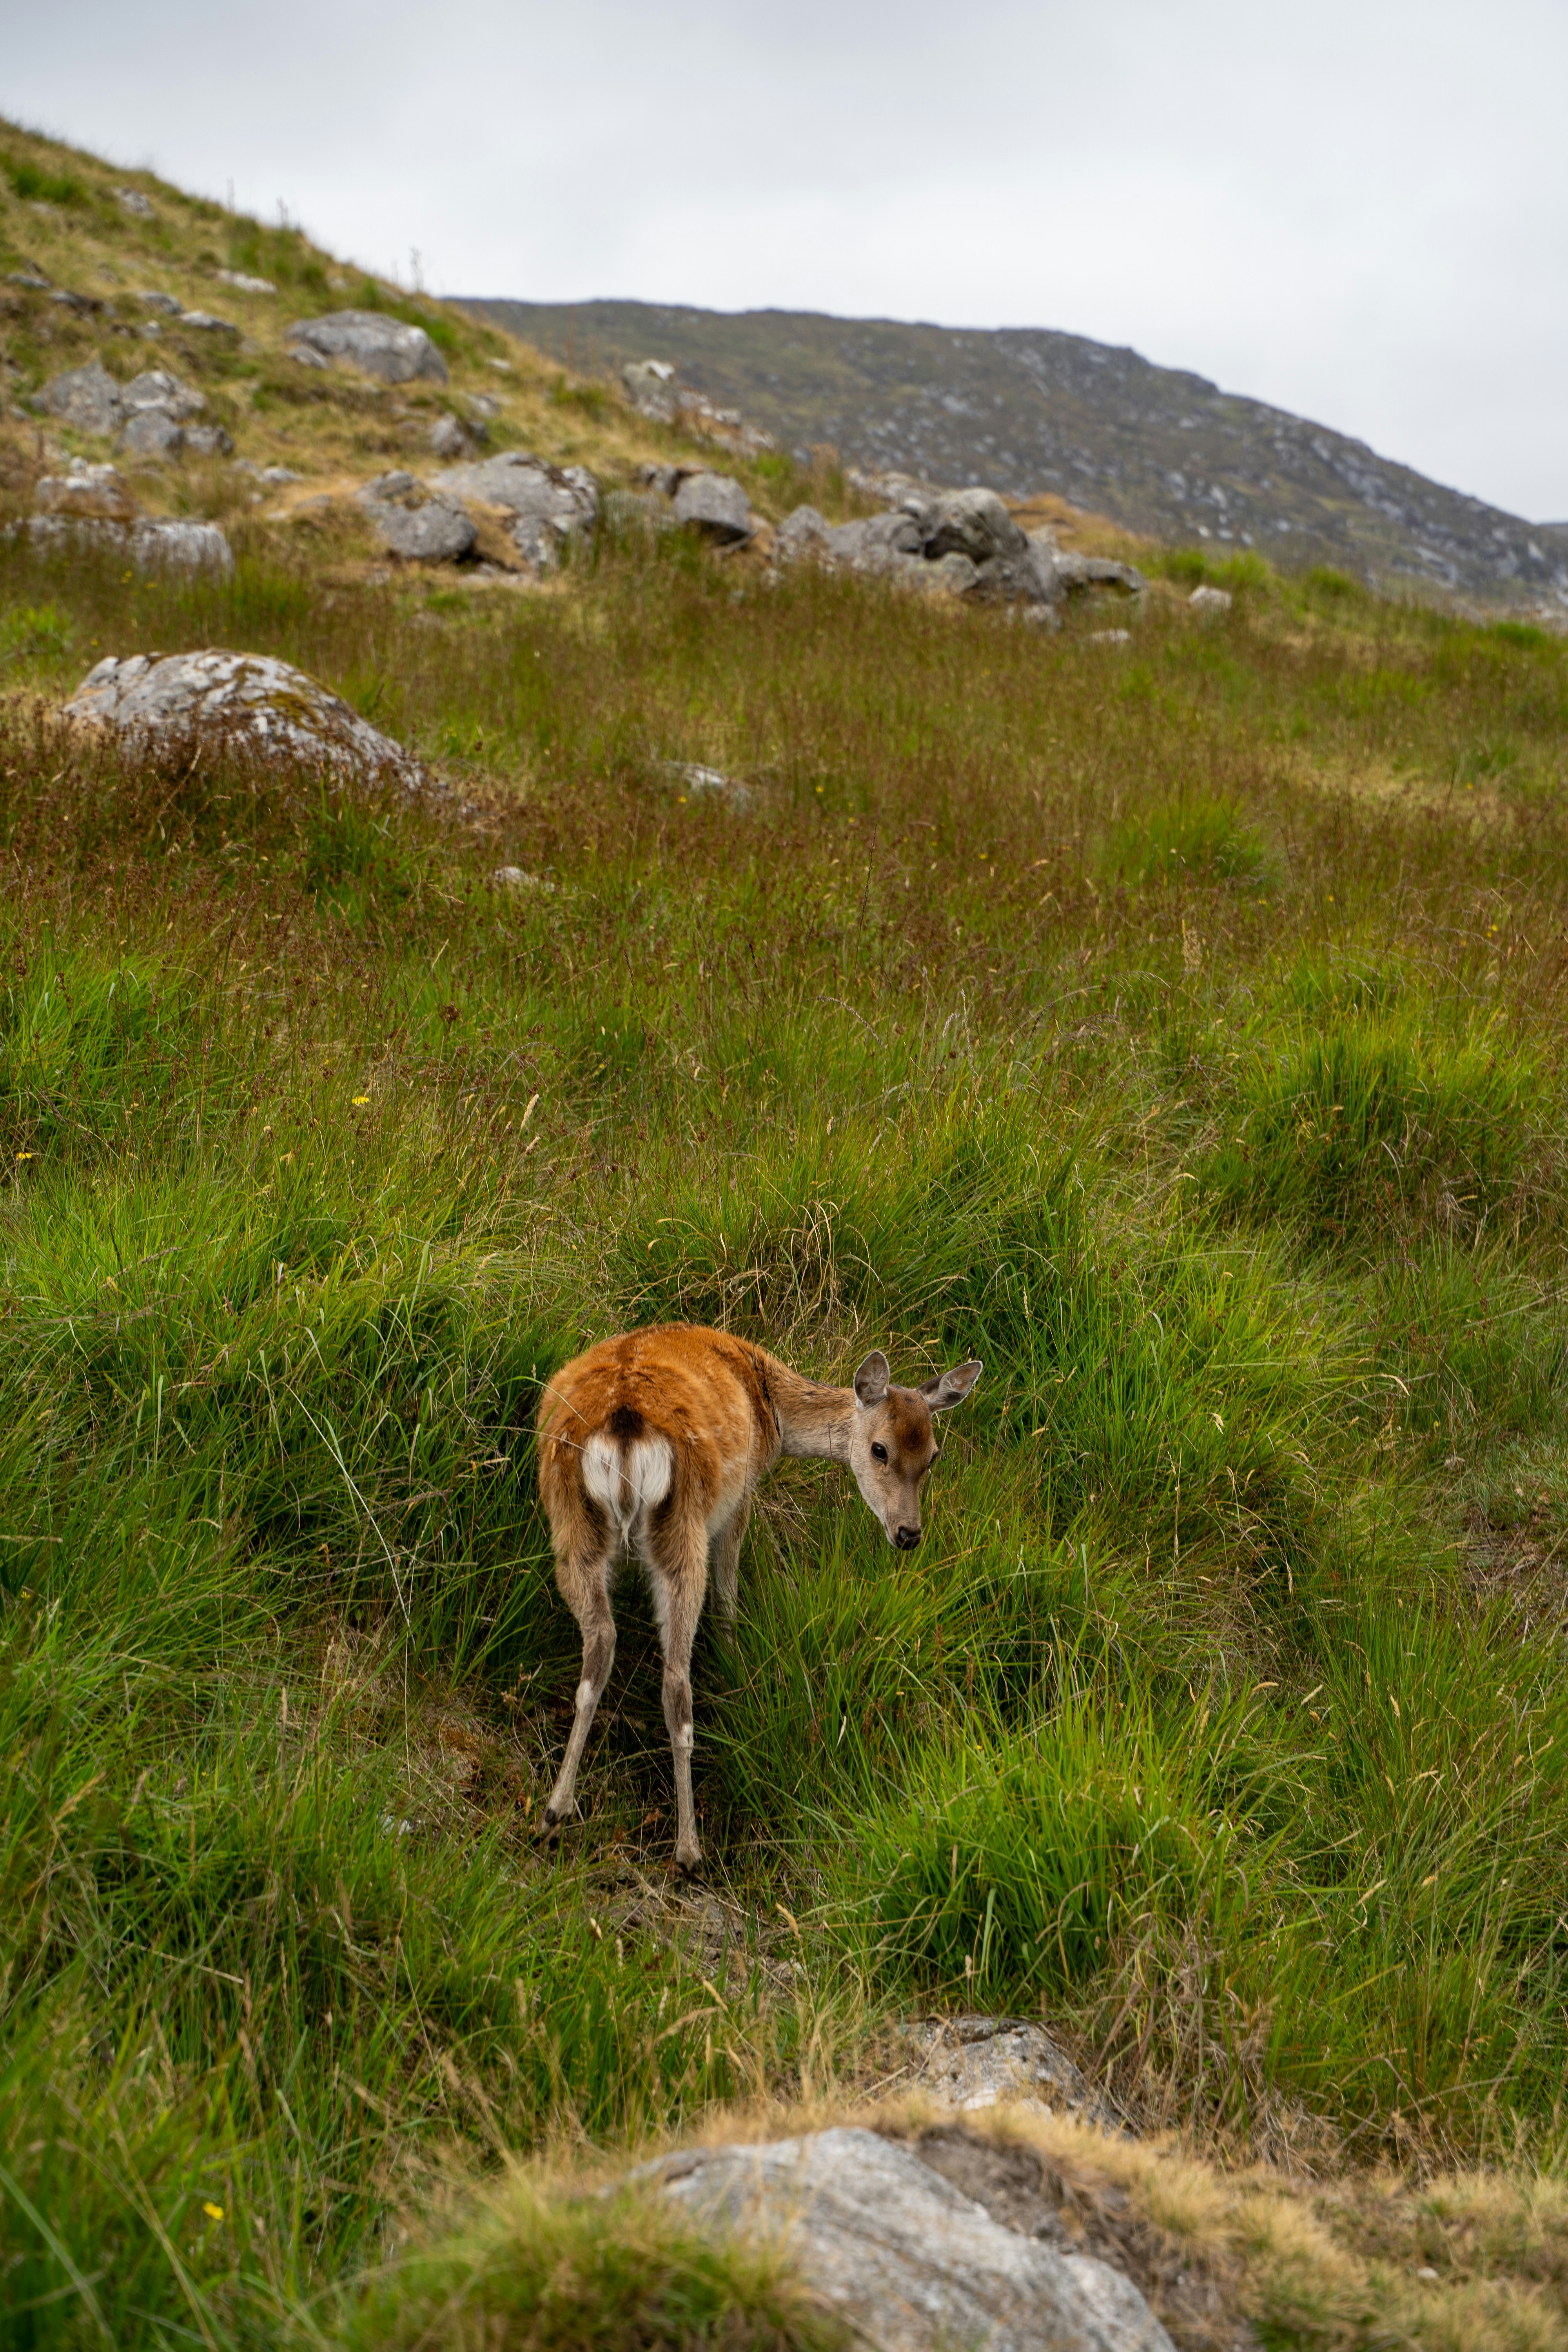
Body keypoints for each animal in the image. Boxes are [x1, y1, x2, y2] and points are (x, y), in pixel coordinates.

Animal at [535, 1322, 982, 1874]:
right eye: (879, 1449)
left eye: (933, 1456)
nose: (908, 1534)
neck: (772, 1407)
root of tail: (623, 1428)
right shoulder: (741, 1496)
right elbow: (727, 1596)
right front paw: (732, 1658)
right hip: (684, 1525)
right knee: (675, 1679)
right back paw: (689, 1850)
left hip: (570, 1523)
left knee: (599, 1646)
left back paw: (554, 1813)